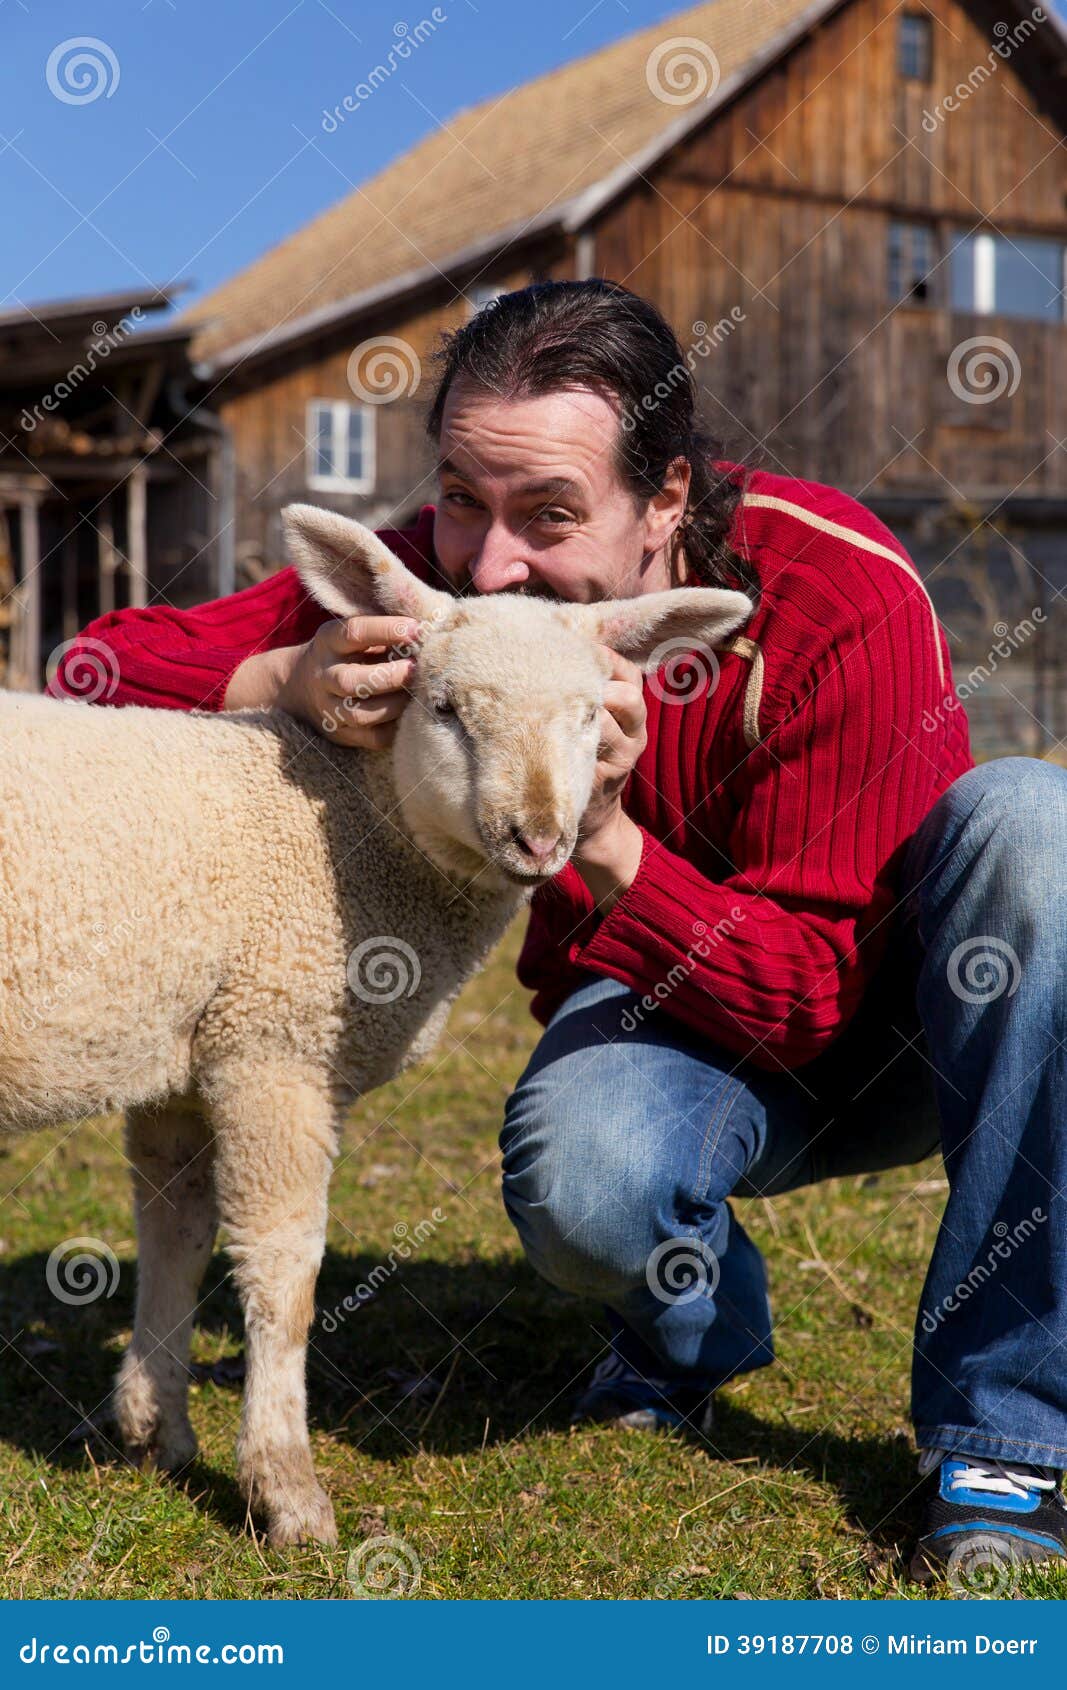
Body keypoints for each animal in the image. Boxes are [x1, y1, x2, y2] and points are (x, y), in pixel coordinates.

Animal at [0, 502, 752, 1547]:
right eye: (444, 709)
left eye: (590, 717)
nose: (537, 837)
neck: (359, 829)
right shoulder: (276, 1042)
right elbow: (283, 1270)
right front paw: (286, 1490)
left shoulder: (190, 1051)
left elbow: (175, 1235)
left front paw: (157, 1429)